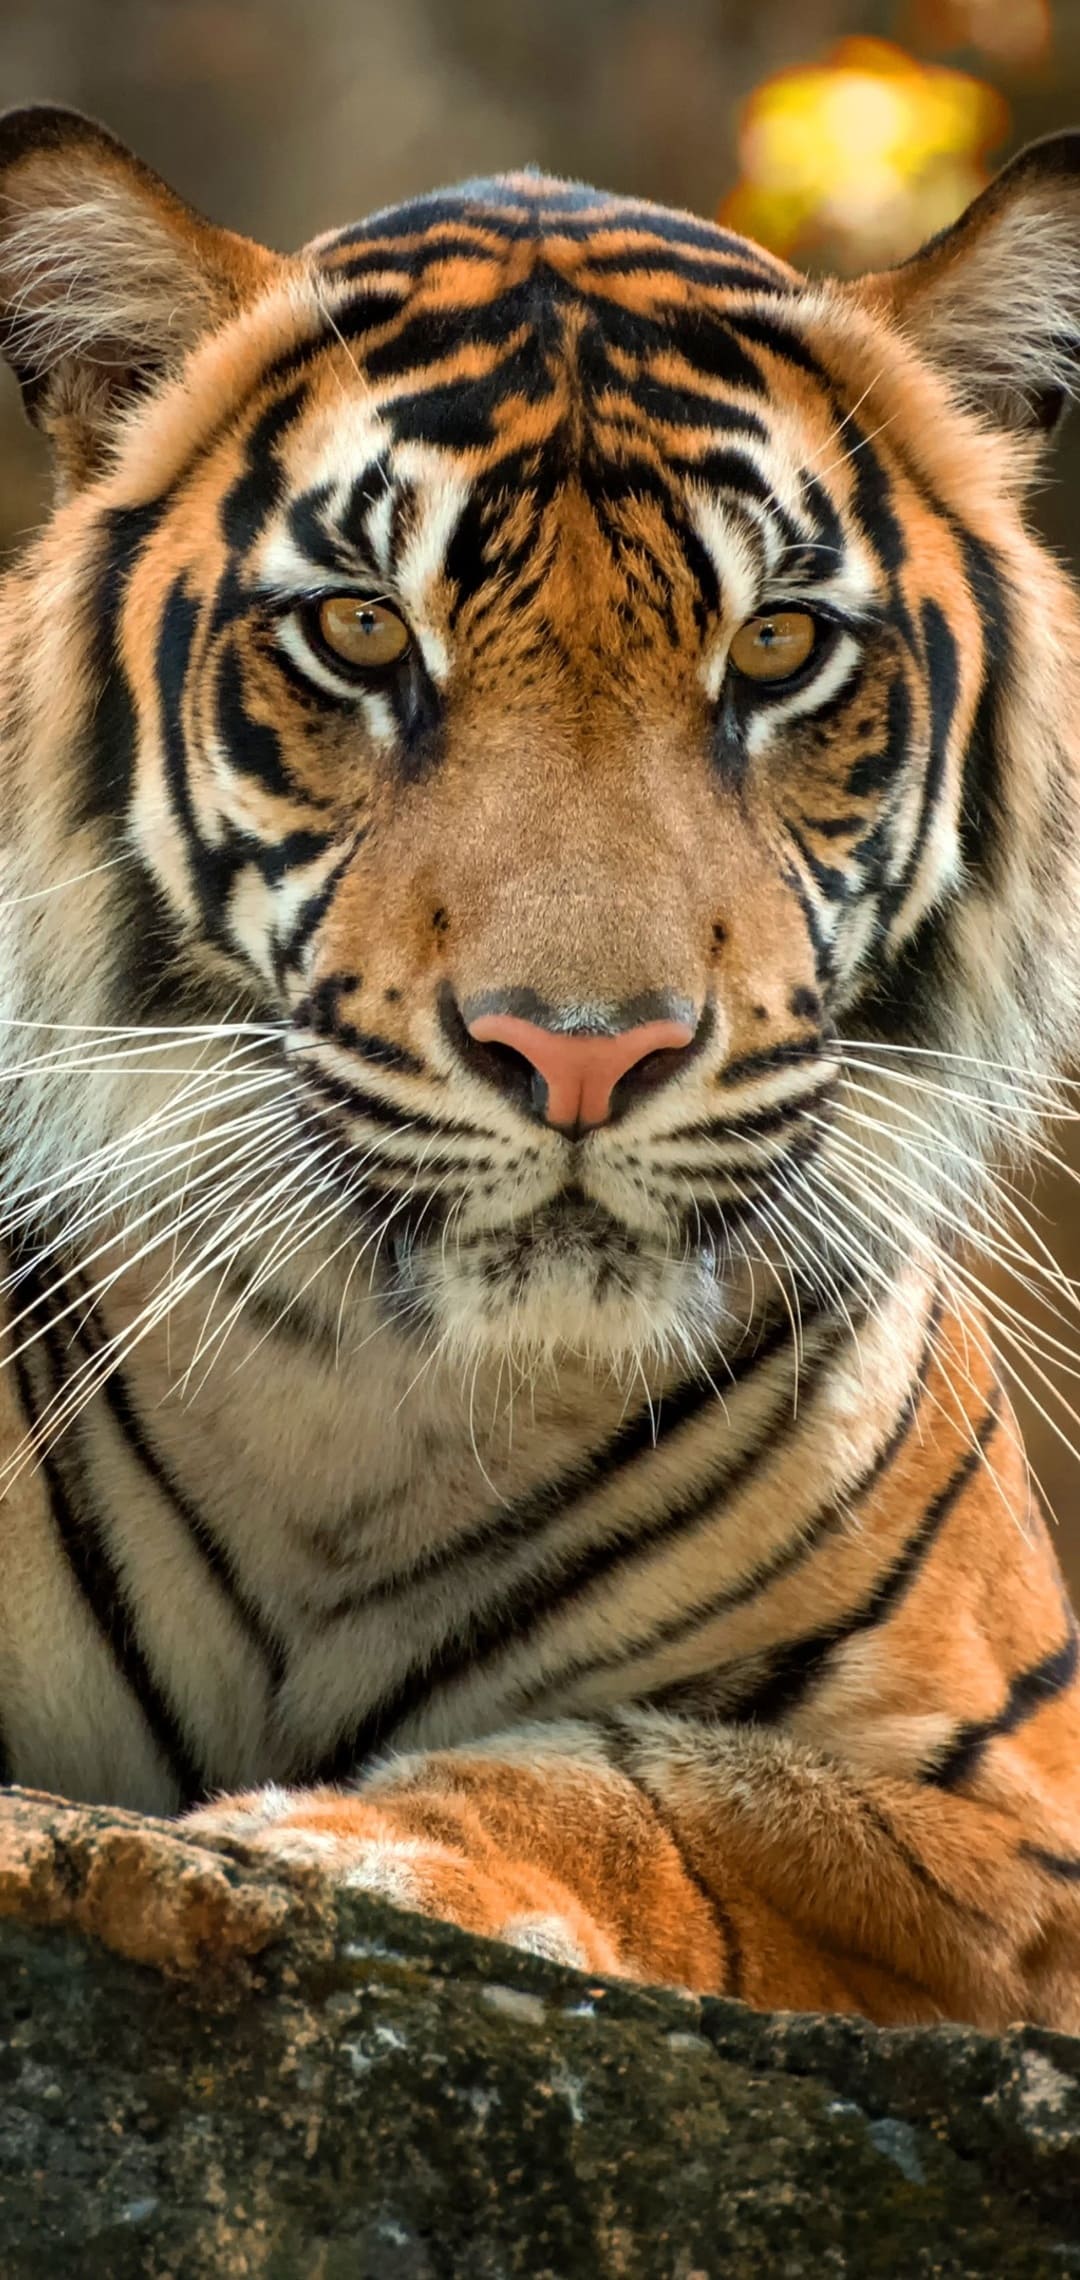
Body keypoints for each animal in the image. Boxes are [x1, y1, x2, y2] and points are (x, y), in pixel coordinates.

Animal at [0, 98, 1078, 2033]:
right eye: (361, 631)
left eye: (777, 647)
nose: (583, 1056)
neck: (381, 1408)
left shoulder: (1014, 1829)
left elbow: (671, 1789)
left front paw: (348, 1846)